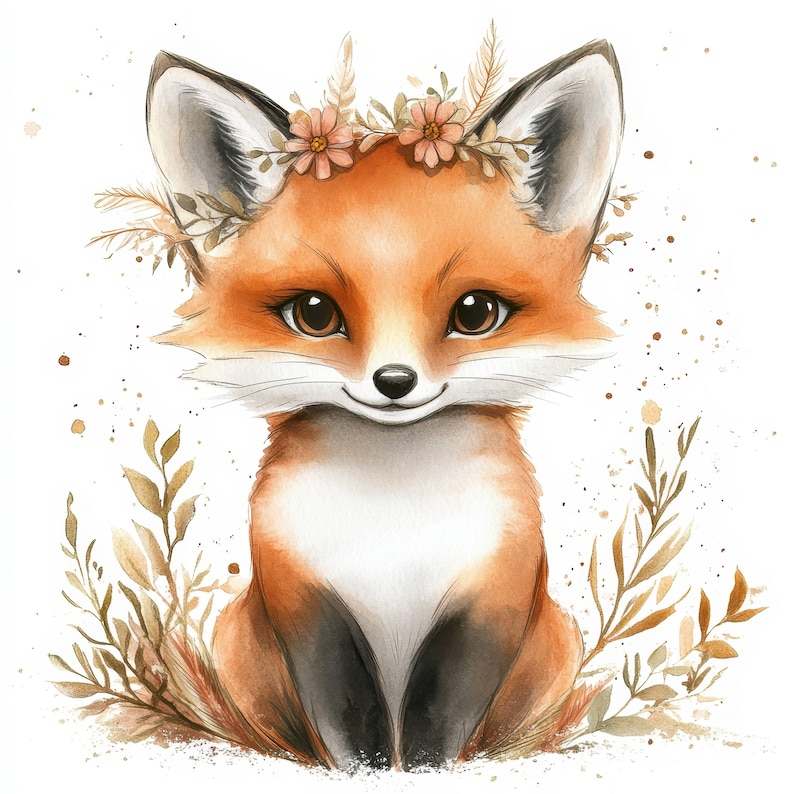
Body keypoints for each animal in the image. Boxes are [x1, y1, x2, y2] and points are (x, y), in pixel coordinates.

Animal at [144, 38, 623, 770]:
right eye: (315, 314)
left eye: (475, 313)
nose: (394, 382)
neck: (393, 521)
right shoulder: (304, 601)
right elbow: (348, 726)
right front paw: (366, 773)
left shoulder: (490, 599)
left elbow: (437, 724)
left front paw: (422, 771)